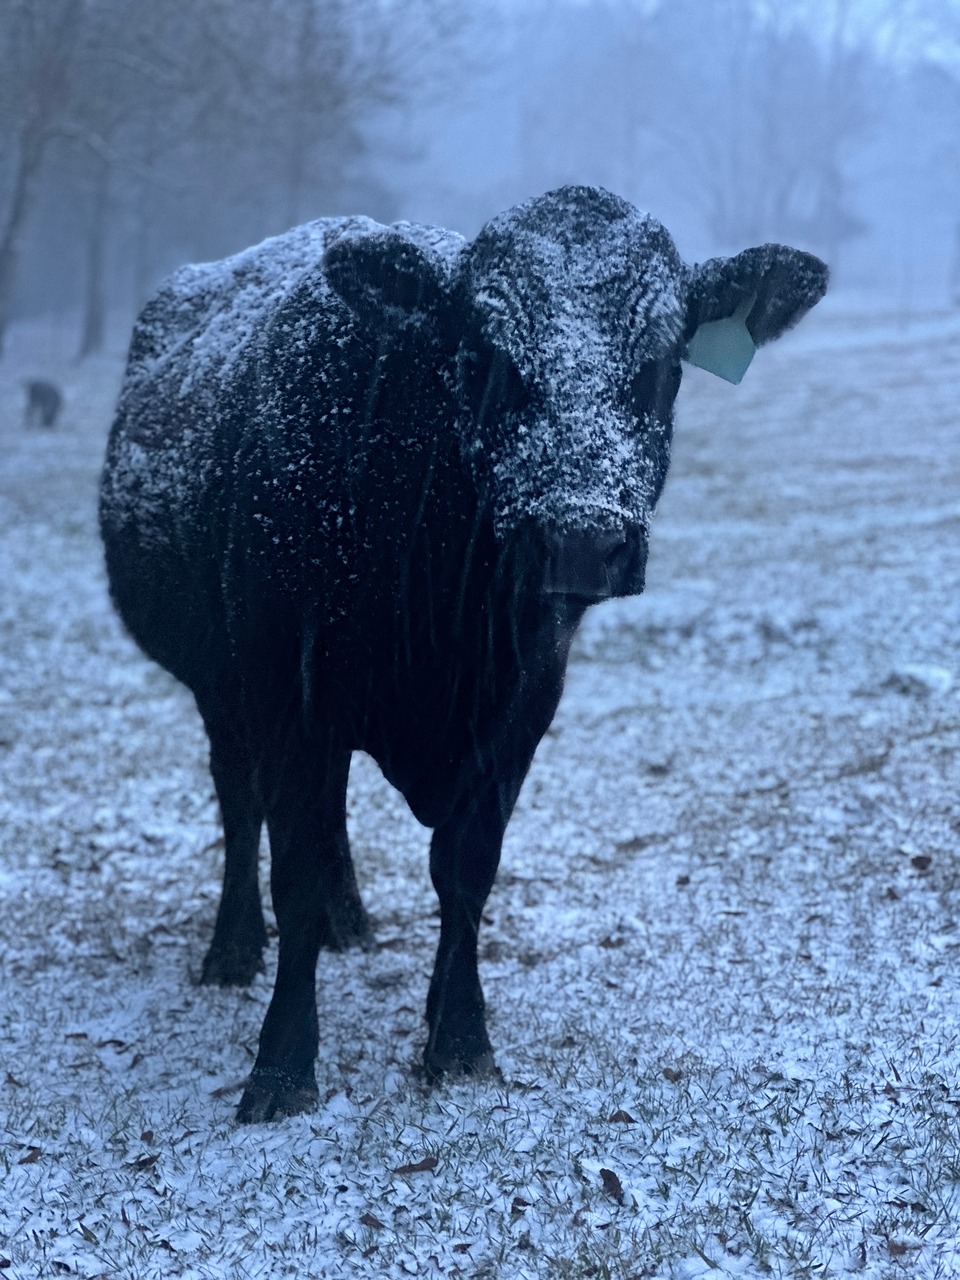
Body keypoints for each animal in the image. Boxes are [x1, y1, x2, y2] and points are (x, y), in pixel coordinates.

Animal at [99, 185, 827, 1122]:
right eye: (483, 358)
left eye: (664, 364)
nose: (579, 537)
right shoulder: (287, 687)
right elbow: (291, 868)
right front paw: (283, 1066)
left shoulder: (523, 703)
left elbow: (465, 870)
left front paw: (458, 1039)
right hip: (219, 685)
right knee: (240, 801)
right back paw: (232, 949)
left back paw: (351, 923)